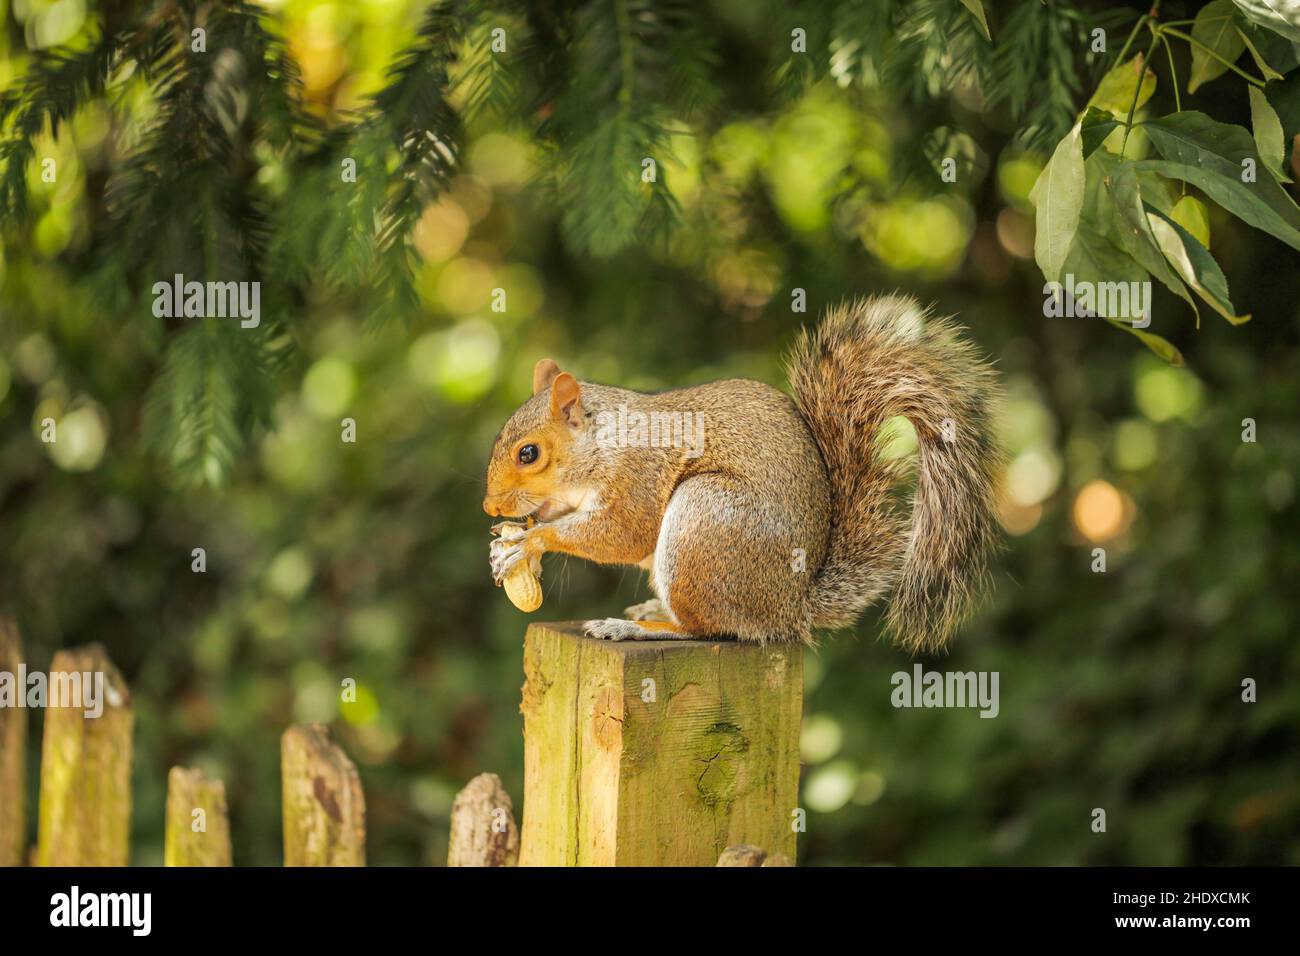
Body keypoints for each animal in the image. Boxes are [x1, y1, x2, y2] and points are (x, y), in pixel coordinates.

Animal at [483, 295, 1004, 652]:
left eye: (528, 453)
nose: (490, 506)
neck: (604, 440)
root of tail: (791, 609)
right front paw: (507, 546)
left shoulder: (637, 476)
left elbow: (622, 534)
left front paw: (530, 541)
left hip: (706, 516)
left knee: (709, 629)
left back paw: (636, 627)